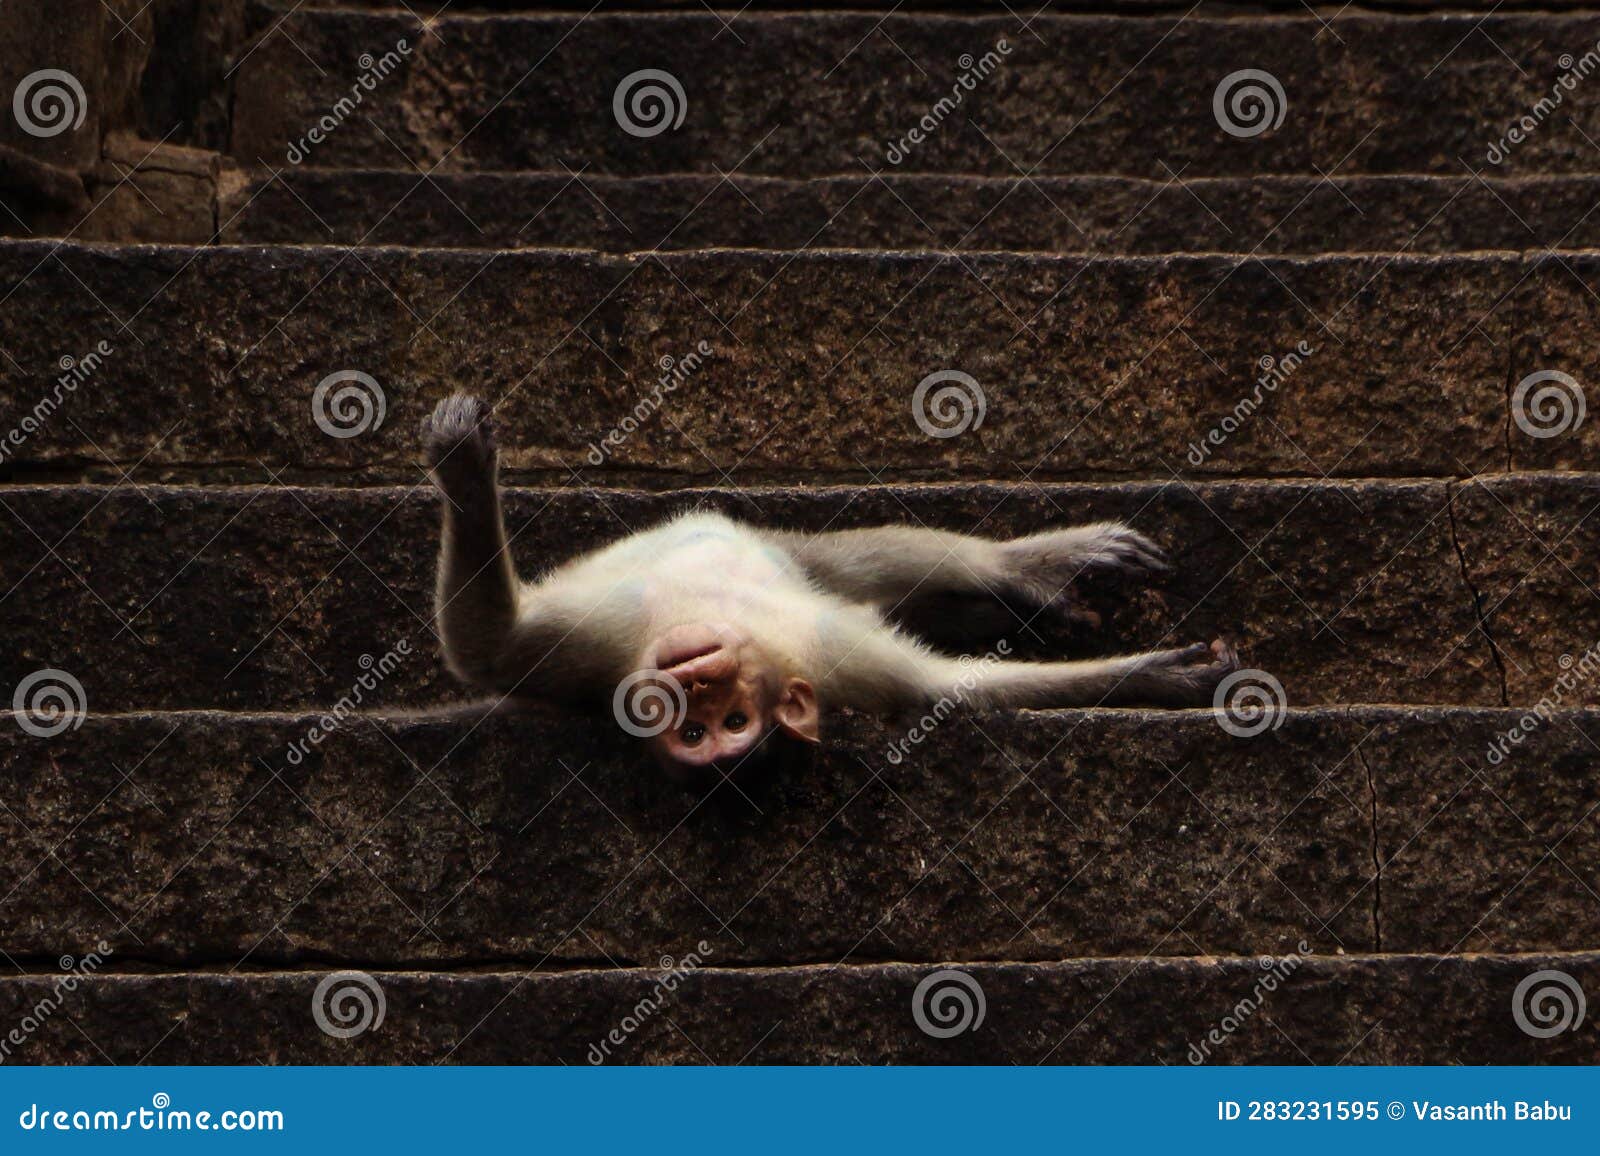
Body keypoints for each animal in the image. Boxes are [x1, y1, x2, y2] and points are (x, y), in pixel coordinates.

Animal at [421, 393, 1238, 783]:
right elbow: (485, 649)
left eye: (730, 722)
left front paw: (1151, 676)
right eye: (690, 732)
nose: (692, 682)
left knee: (866, 564)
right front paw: (464, 466)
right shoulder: (587, 659)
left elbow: (951, 689)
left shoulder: (843, 662)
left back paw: (1016, 571)